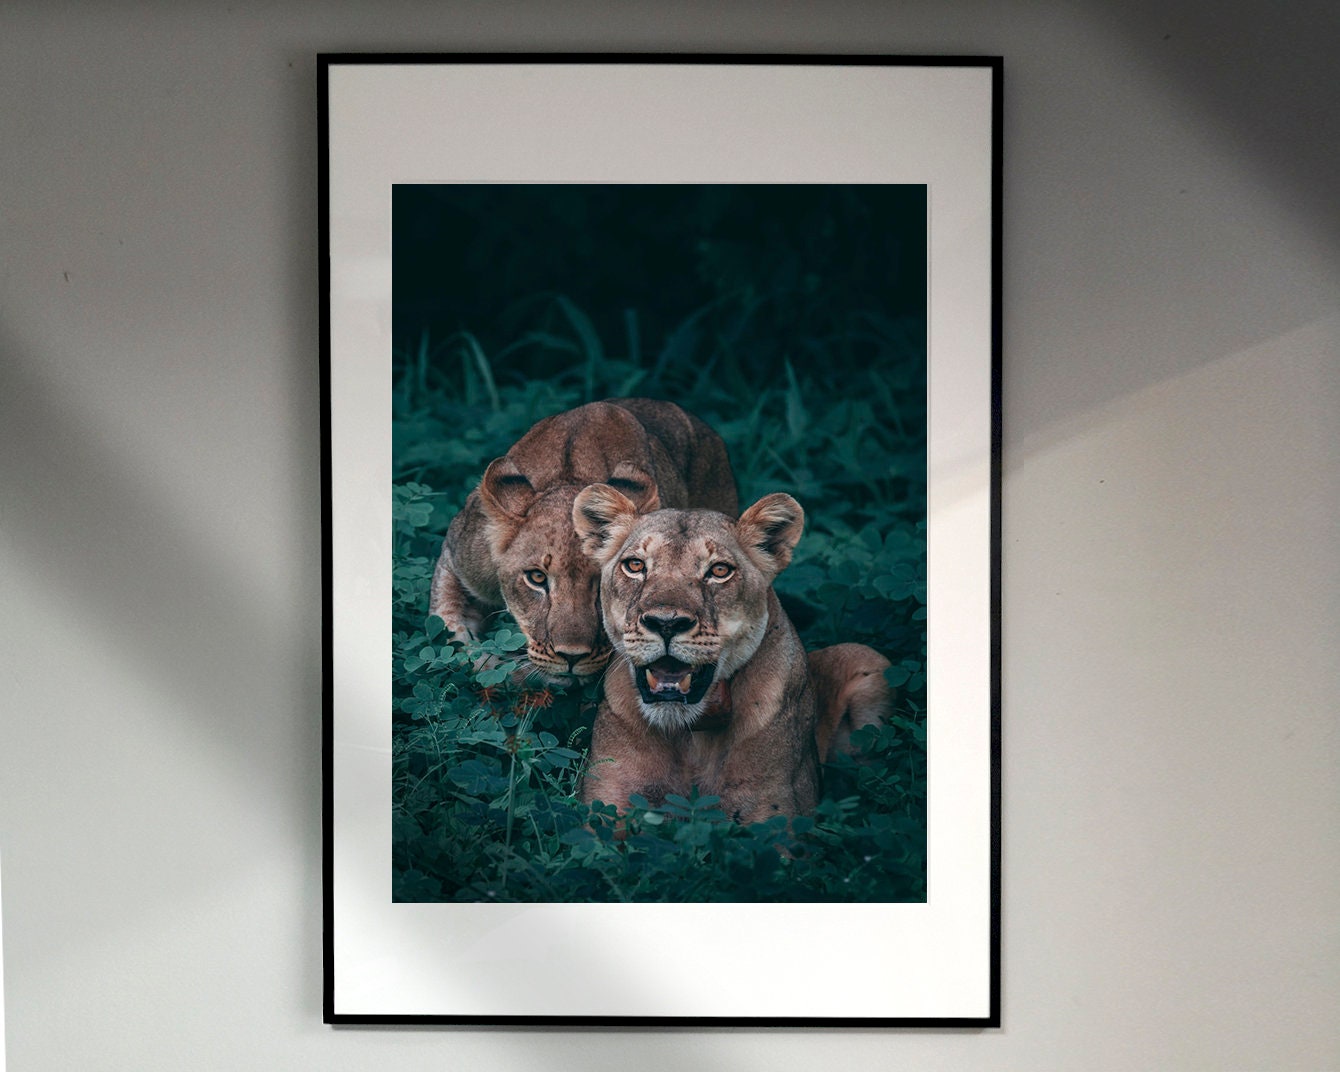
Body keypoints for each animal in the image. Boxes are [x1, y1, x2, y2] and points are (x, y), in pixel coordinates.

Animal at [571, 485, 891, 824]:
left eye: (719, 571)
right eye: (635, 565)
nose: (666, 623)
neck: (690, 735)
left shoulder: (776, 814)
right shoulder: (605, 803)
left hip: (869, 658)